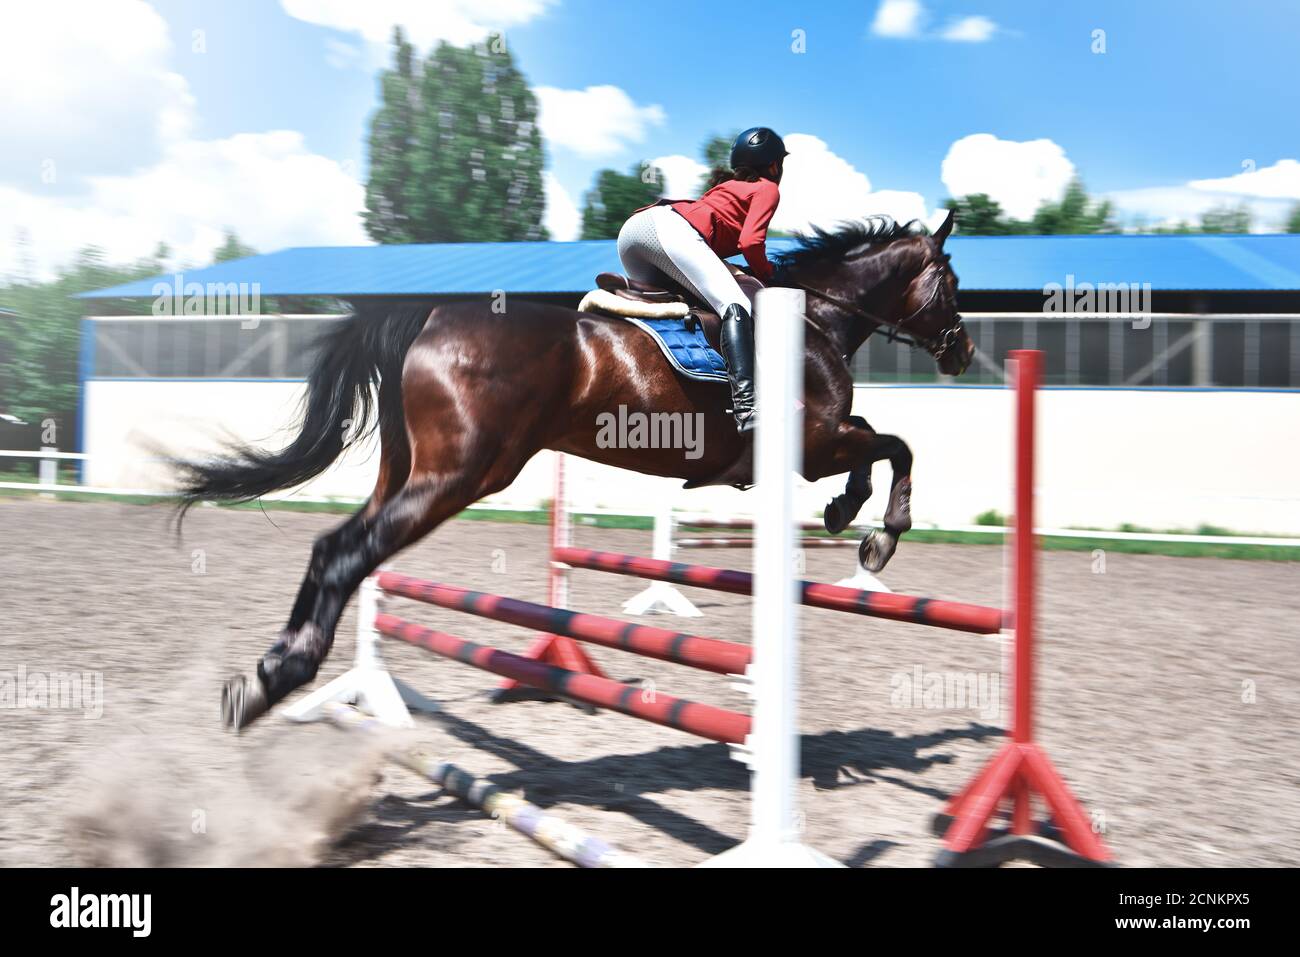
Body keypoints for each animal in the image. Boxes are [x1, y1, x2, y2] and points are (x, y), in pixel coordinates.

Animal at [177, 212, 973, 730]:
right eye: (950, 279)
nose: (963, 352)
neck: (817, 316)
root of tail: (429, 317)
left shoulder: (822, 441)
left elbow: (880, 442)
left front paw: (849, 517)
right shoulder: (813, 442)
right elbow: (892, 445)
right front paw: (877, 533)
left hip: (407, 474)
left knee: (334, 547)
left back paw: (266, 678)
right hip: (459, 477)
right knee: (348, 553)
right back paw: (283, 675)